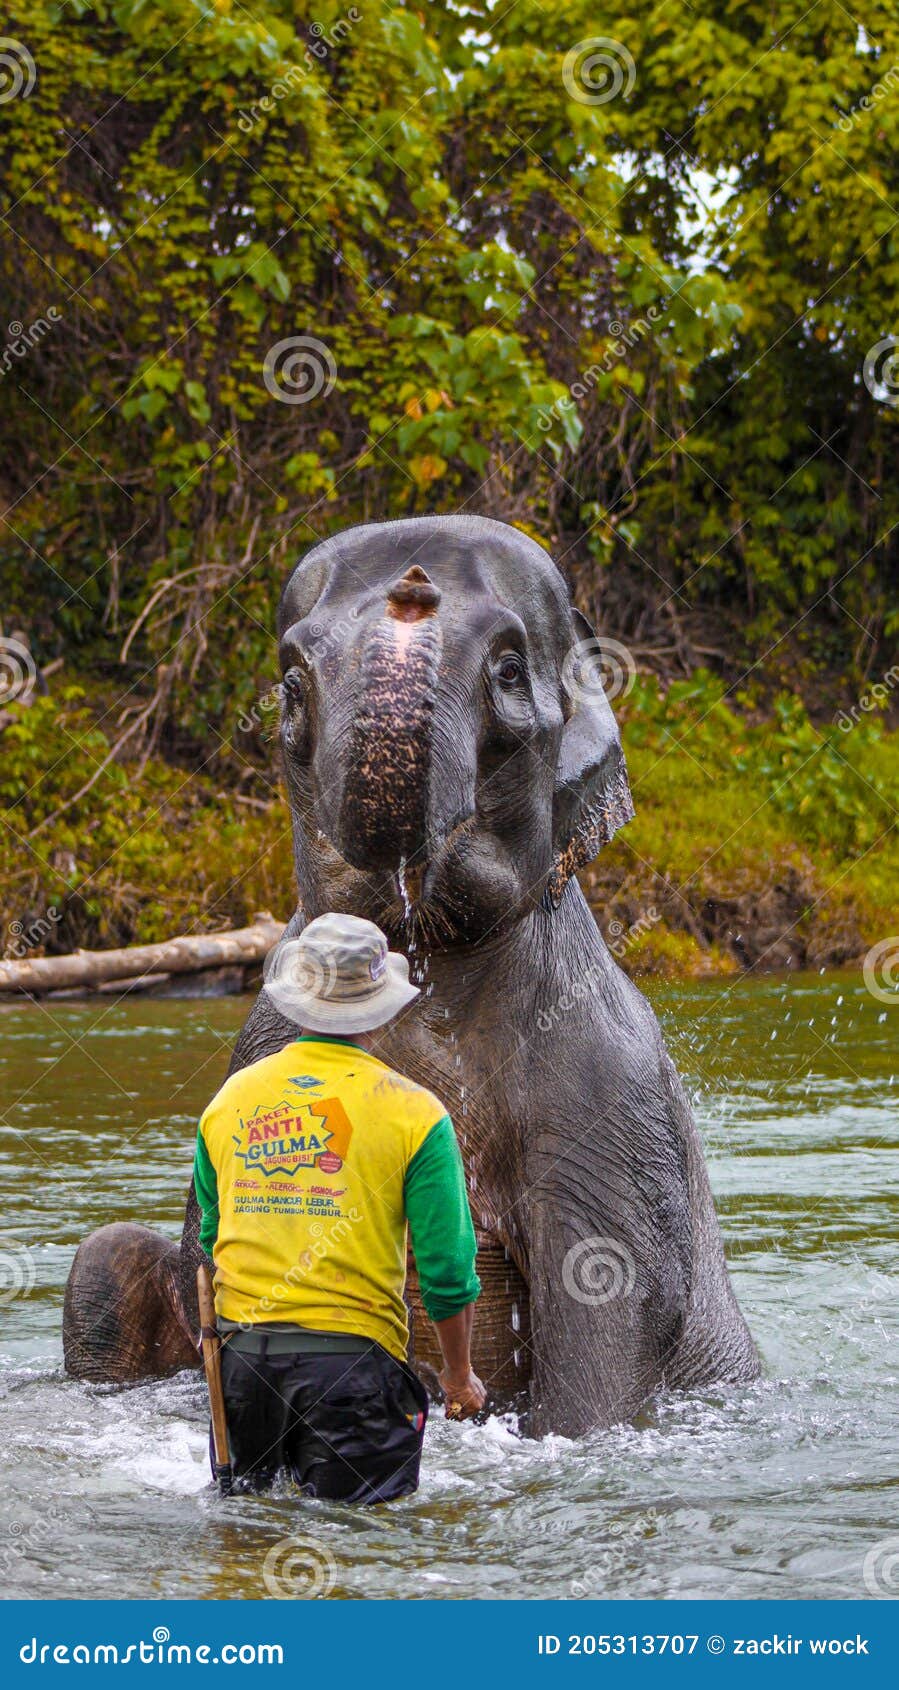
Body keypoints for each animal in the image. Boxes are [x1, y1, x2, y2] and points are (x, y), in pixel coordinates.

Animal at [64, 514, 758, 1435]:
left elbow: (604, 1304)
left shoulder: (611, 1092)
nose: (415, 582)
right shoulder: (255, 1053)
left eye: (510, 670)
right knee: (102, 1260)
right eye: (291, 681)